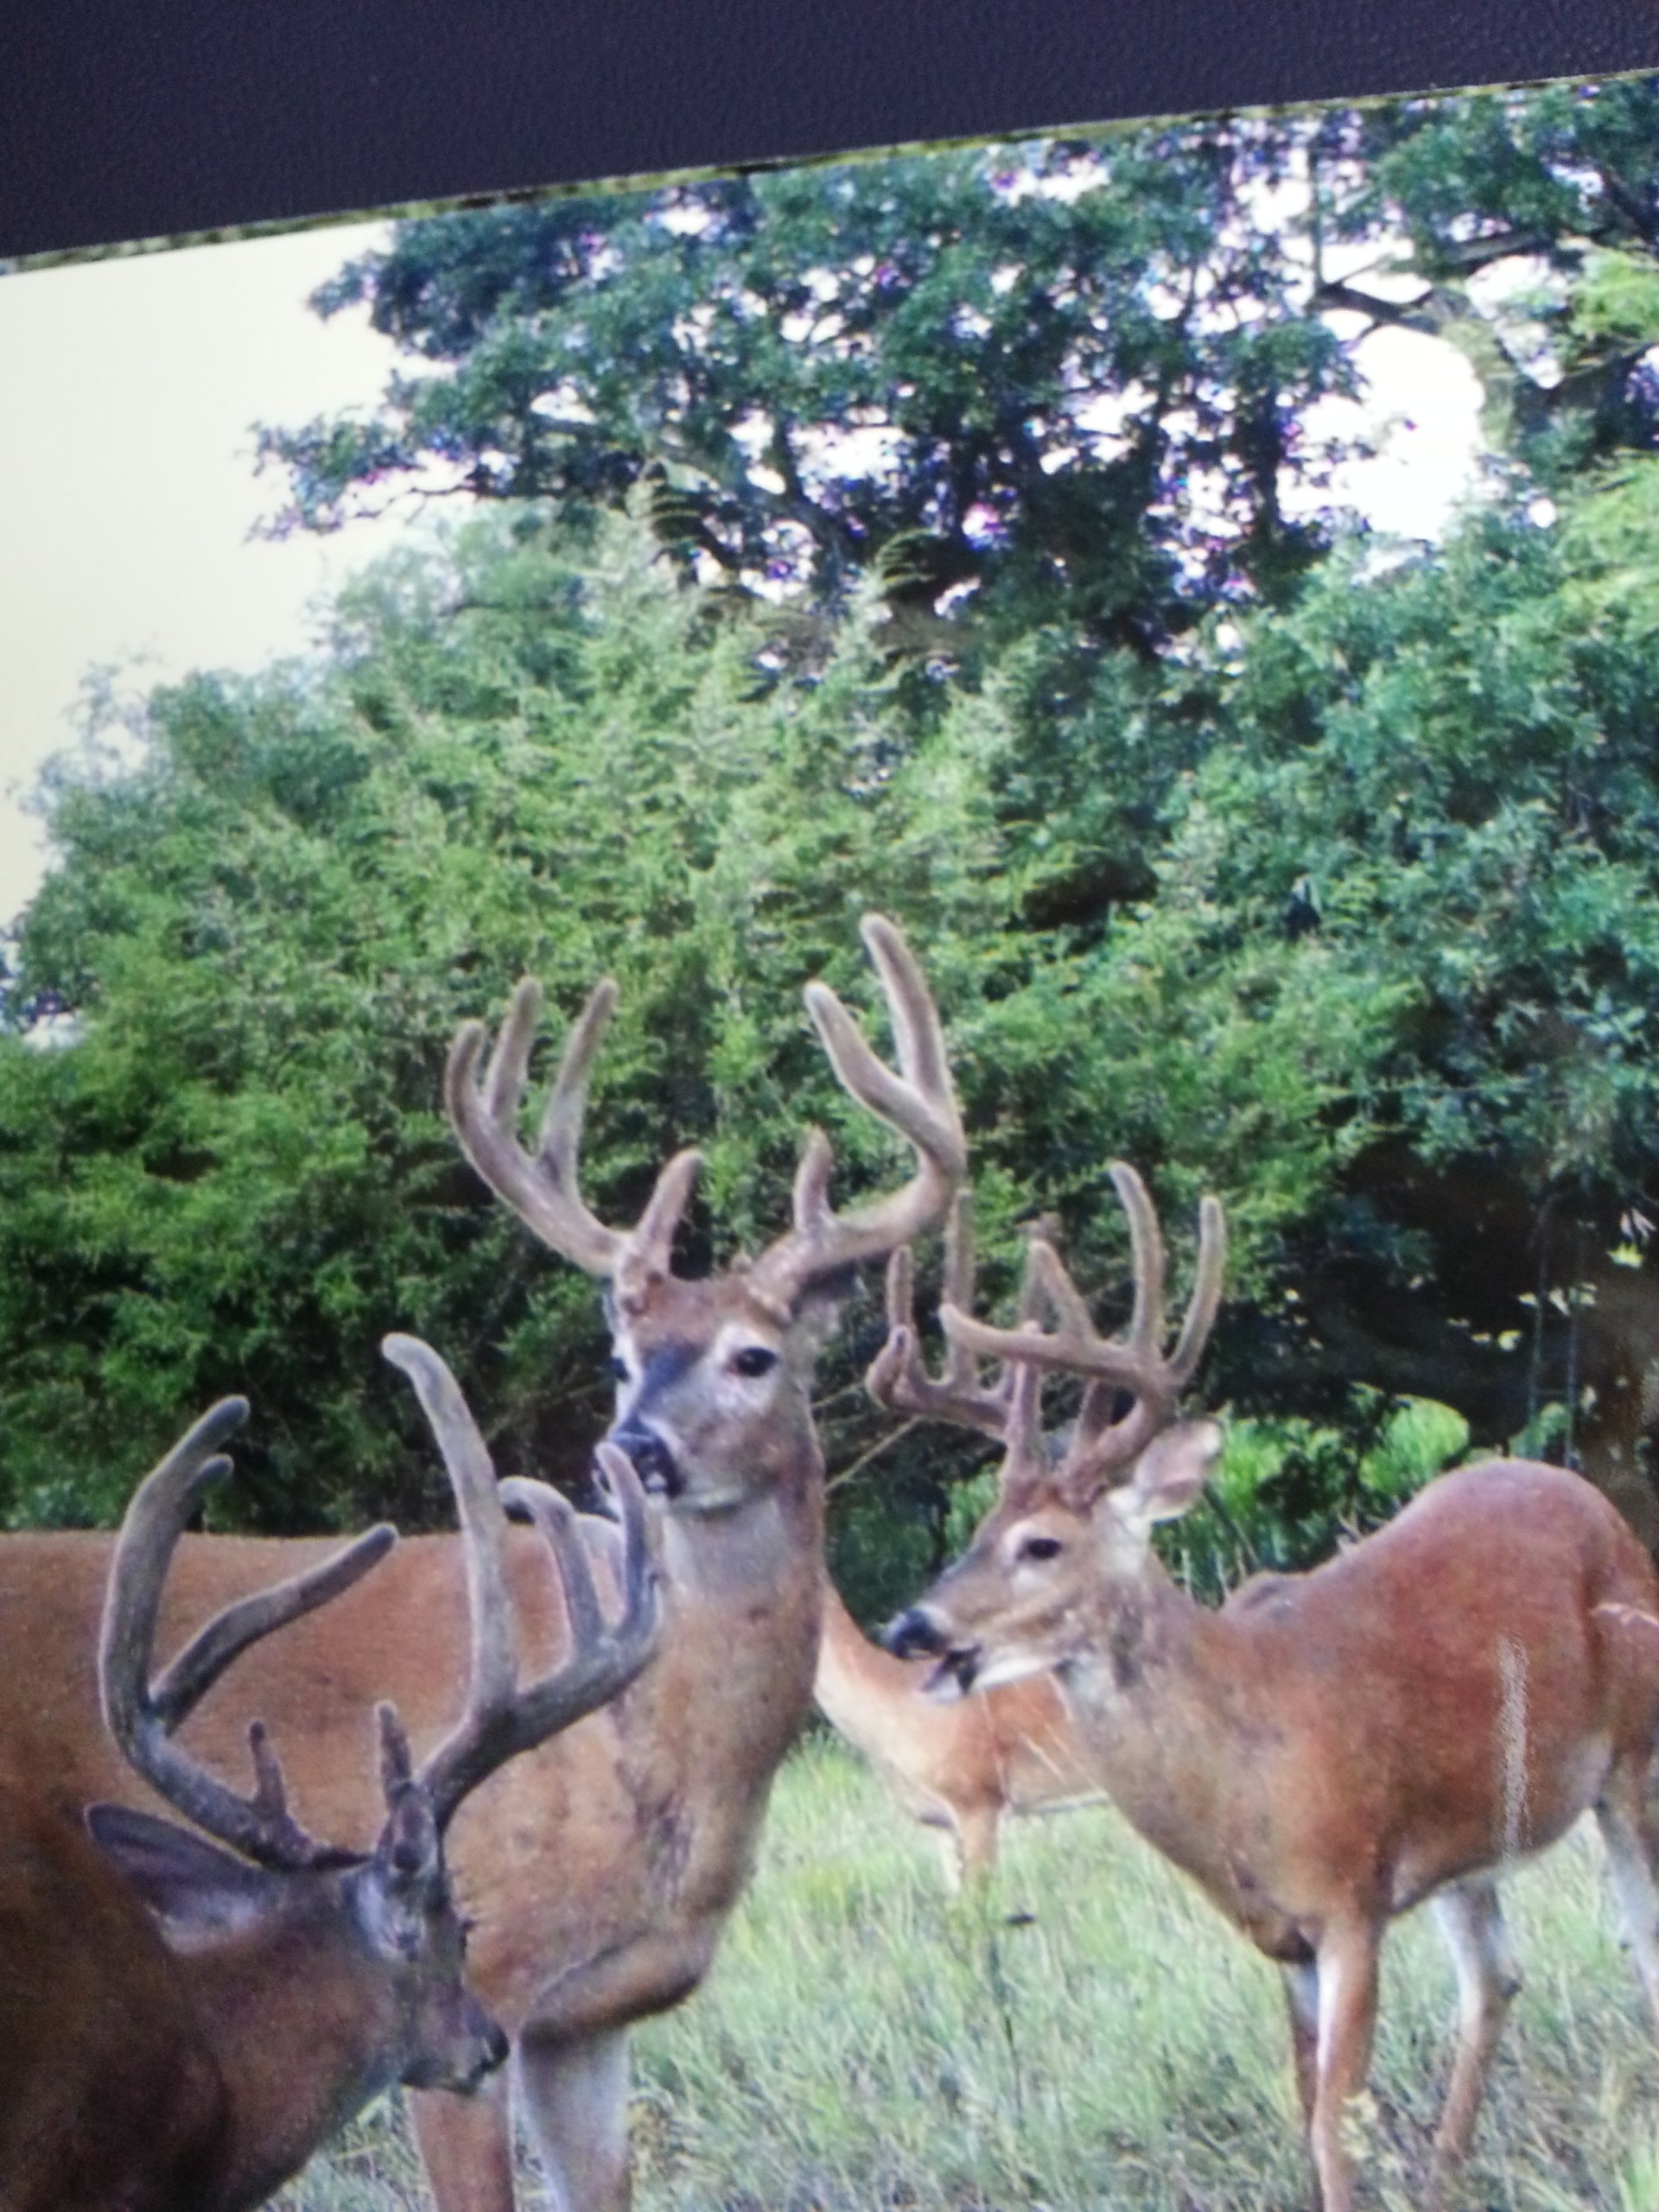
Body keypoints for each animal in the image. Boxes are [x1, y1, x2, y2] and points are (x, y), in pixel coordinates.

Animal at [880, 1161, 1659, 2212]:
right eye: (976, 1533)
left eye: (1041, 1544)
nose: (911, 1628)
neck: (1240, 1770)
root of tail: (1602, 1510)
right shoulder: (1281, 1939)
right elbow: (1303, 2109)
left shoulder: (1352, 1897)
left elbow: (1335, 2125)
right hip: (1477, 1833)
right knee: (1495, 1980)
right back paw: (1444, 2178)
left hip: (1635, 1756)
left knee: (1641, 1947)